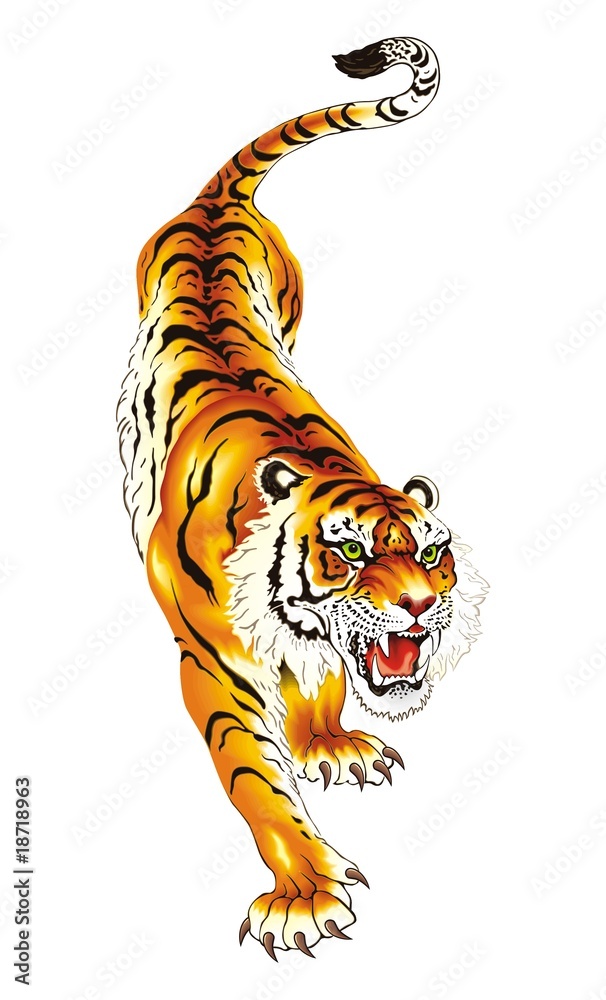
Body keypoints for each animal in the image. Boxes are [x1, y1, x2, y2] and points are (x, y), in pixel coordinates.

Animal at [117, 36, 487, 959]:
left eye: (433, 552)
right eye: (348, 553)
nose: (421, 606)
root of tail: (215, 201)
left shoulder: (318, 649)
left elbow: (322, 686)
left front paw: (333, 748)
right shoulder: (212, 666)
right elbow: (258, 782)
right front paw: (306, 898)